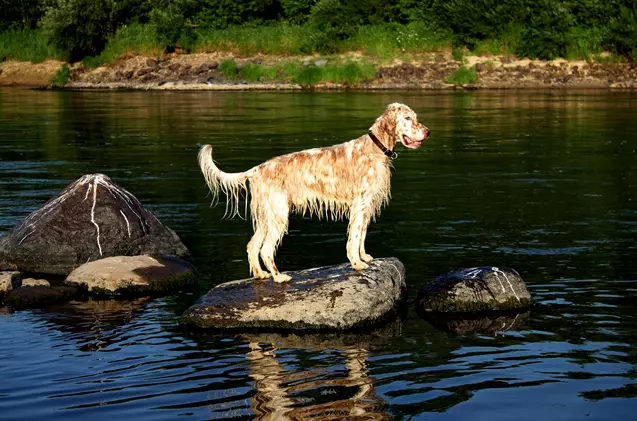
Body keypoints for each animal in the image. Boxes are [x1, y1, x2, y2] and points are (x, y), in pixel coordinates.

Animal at [198, 101, 428, 282]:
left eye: (415, 117)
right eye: (407, 118)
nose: (428, 132)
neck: (374, 149)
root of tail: (257, 169)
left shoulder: (366, 207)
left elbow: (361, 236)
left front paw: (364, 257)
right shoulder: (360, 205)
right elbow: (354, 237)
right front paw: (356, 263)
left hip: (266, 217)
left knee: (252, 246)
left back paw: (261, 274)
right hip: (278, 215)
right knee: (266, 249)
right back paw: (279, 277)